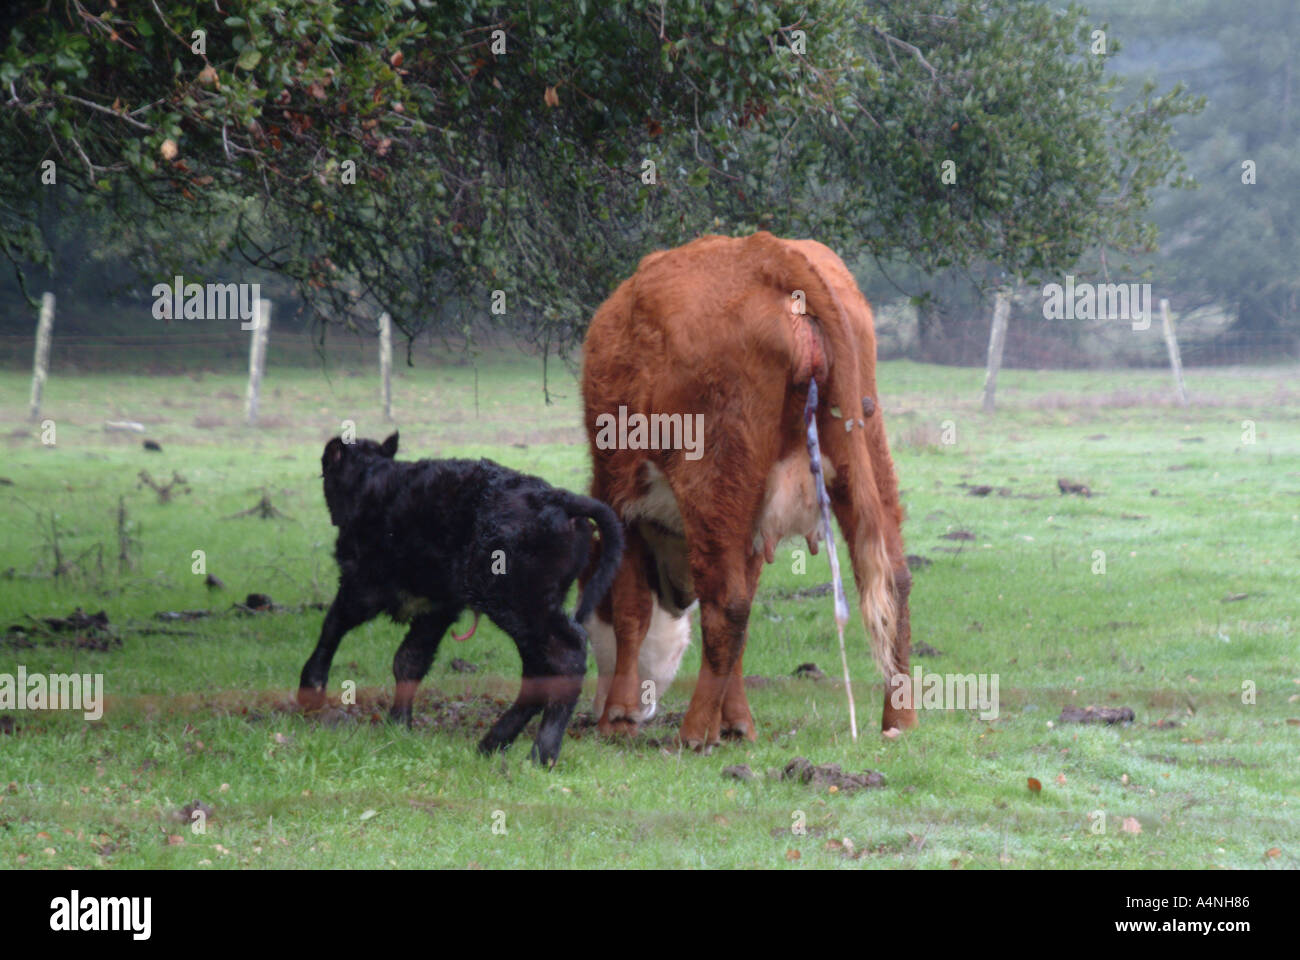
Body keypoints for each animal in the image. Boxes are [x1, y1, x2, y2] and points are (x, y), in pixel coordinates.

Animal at [580, 232, 916, 751]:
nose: (594, 708)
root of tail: (769, 253)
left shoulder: (624, 505)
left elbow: (632, 612)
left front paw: (618, 716)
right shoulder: (751, 522)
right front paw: (736, 721)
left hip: (713, 480)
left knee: (727, 604)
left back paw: (694, 732)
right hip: (860, 455)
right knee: (893, 579)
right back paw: (898, 719)